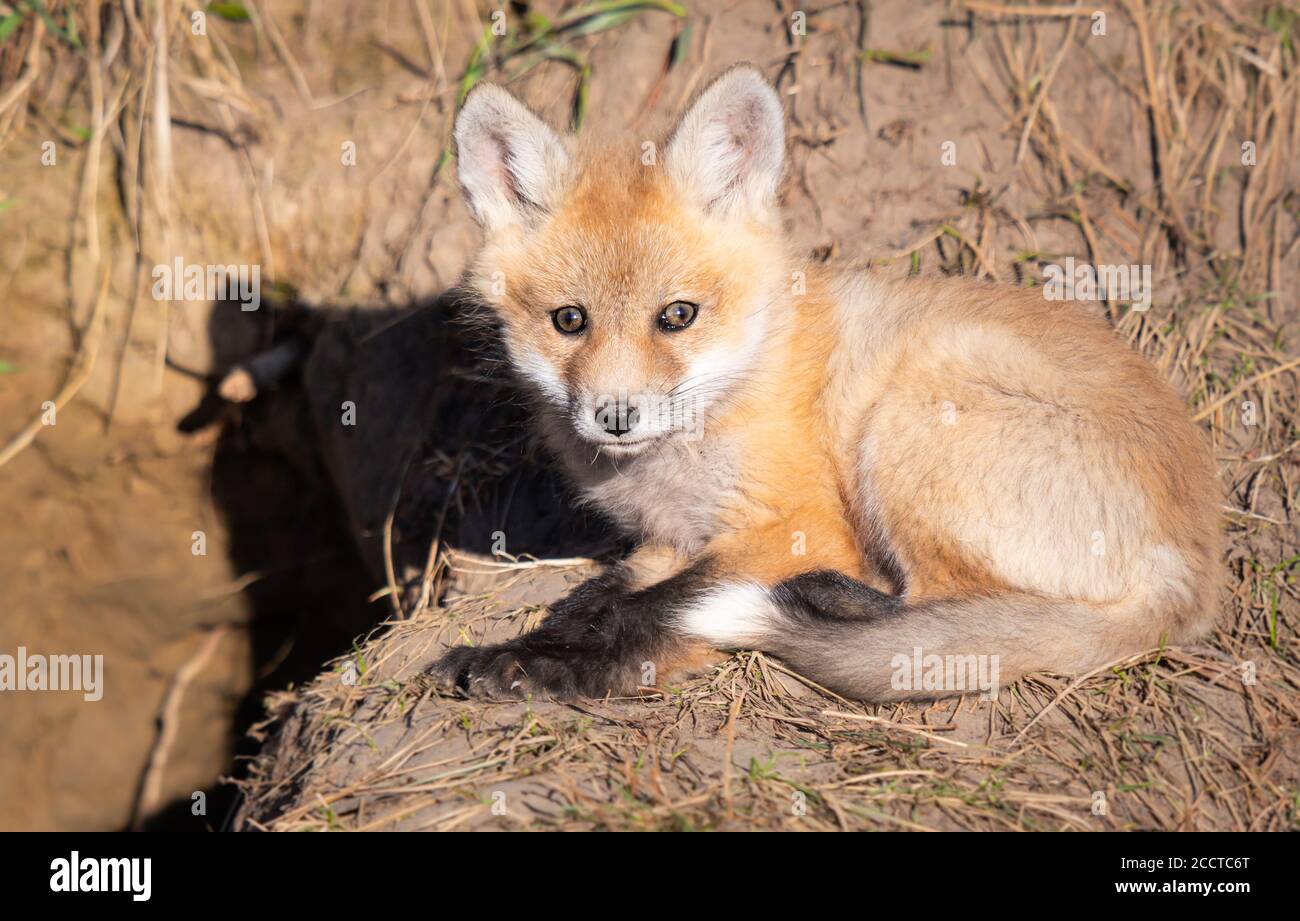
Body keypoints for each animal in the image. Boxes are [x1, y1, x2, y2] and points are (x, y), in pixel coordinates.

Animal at [432, 65, 1223, 702]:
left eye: (677, 316)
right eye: (570, 320)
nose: (616, 416)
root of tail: (1196, 552)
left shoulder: (801, 525)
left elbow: (658, 607)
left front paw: (557, 667)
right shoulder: (667, 539)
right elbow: (596, 596)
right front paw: (525, 648)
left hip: (908, 421)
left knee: (934, 611)